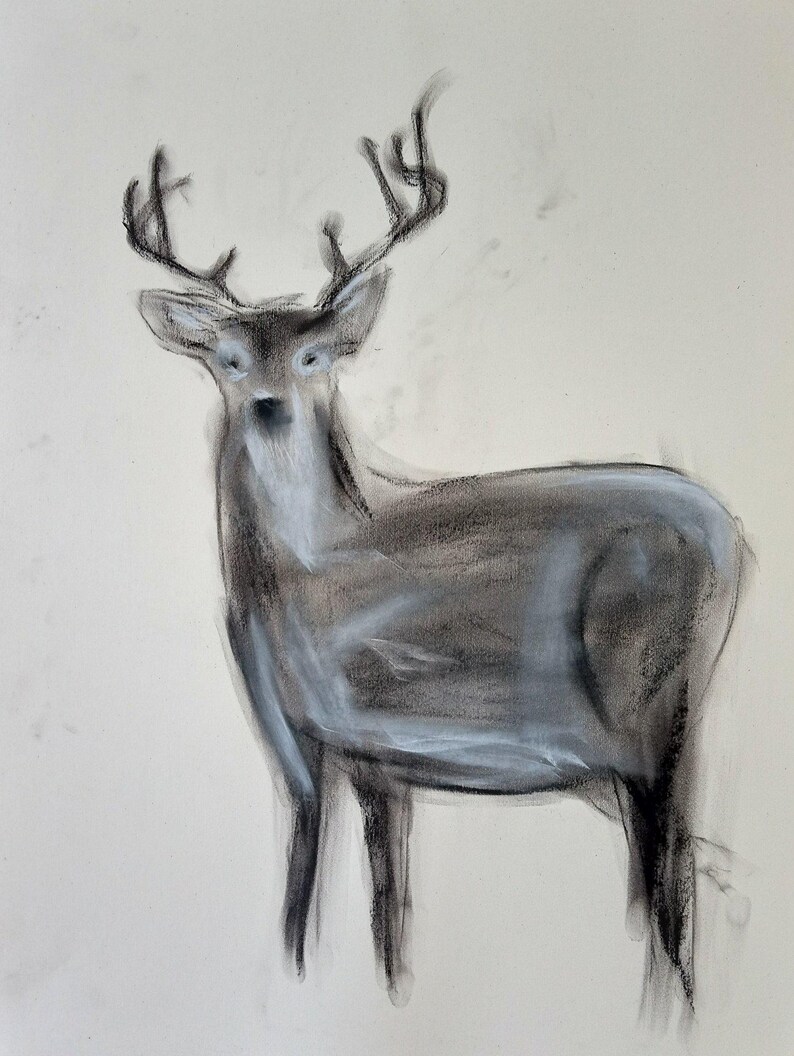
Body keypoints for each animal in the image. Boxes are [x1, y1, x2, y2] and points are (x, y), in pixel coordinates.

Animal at [124, 77, 745, 1018]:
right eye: (228, 357)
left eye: (314, 354)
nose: (269, 404)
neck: (299, 589)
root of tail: (732, 538)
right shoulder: (315, 749)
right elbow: (339, 904)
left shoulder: (369, 732)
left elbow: (363, 902)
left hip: (649, 716)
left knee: (670, 891)